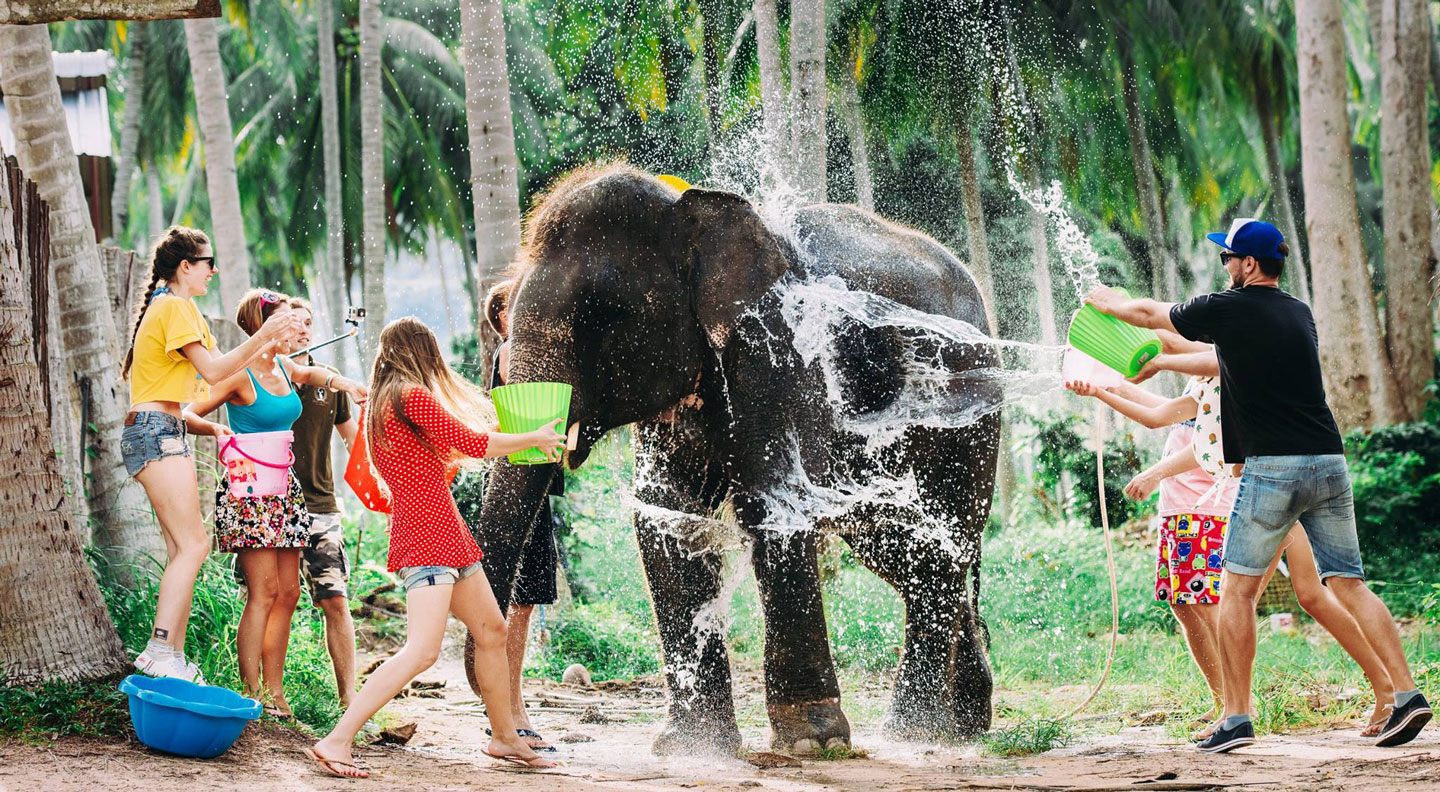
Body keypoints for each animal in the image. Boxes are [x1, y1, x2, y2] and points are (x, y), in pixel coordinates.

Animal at [468, 162, 1000, 755]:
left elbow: (774, 503)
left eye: (604, 315)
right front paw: (693, 747)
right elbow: (666, 515)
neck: (694, 211)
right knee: (910, 548)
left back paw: (911, 730)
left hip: (970, 413)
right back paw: (962, 724)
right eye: (500, 314)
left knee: (939, 541)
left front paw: (811, 743)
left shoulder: (776, 351)